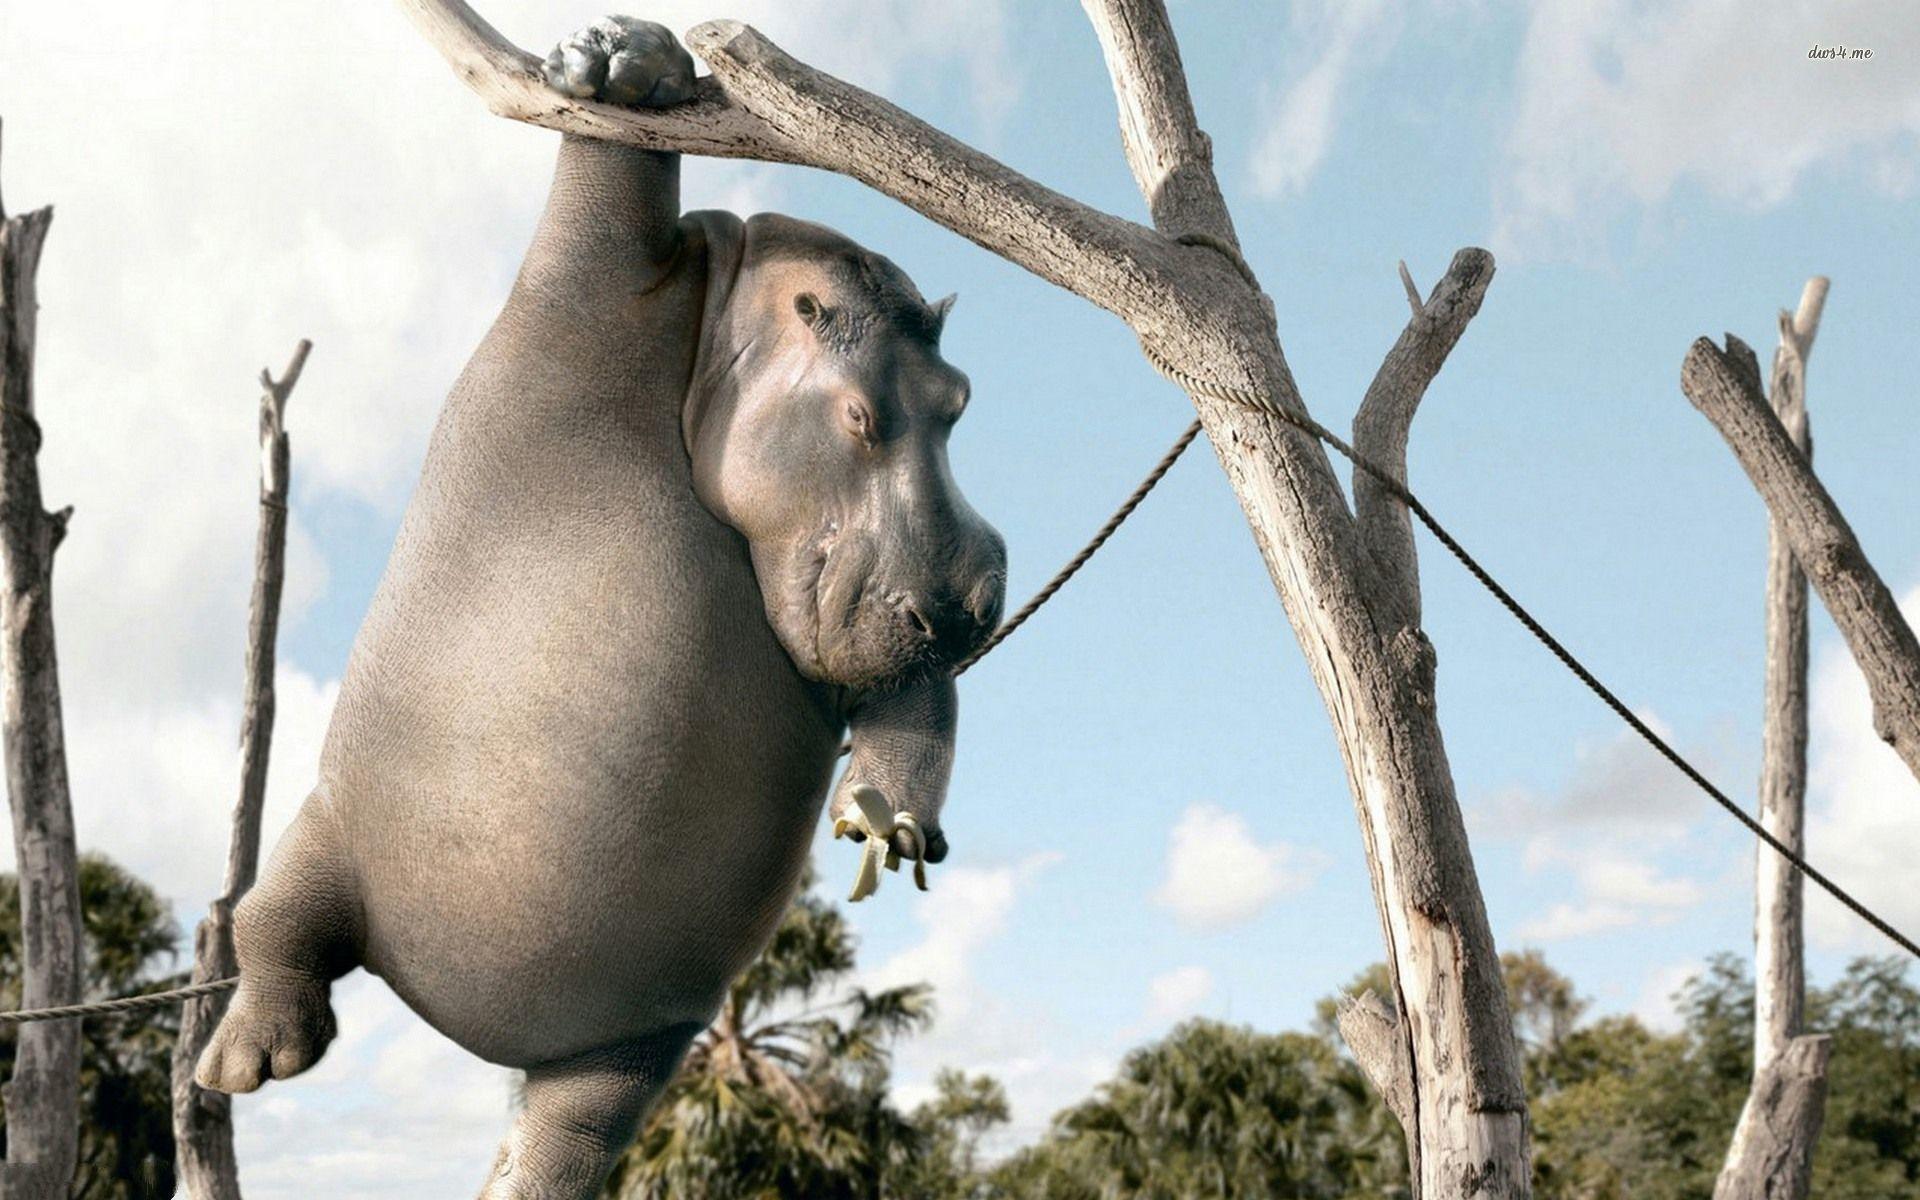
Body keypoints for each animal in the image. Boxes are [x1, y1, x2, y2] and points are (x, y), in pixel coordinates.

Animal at [193, 15, 1006, 1197]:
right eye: (858, 416)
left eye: (958, 401)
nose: (968, 604)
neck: (736, 315)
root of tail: (465, 1026)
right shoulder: (599, 273)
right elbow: (608, 180)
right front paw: (625, 60)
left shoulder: (870, 640)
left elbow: (918, 705)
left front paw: (887, 829)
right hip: (328, 824)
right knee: (273, 927)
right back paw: (244, 1067)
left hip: (630, 1043)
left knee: (565, 1137)